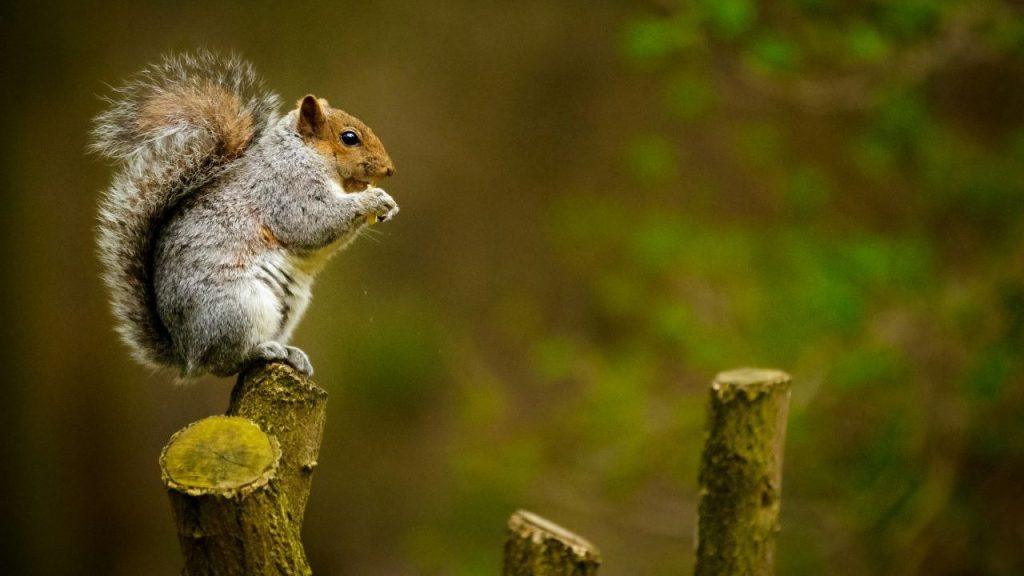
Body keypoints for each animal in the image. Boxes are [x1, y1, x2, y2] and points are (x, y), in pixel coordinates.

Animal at [91, 51, 398, 378]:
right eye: (349, 138)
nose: (389, 169)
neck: (303, 152)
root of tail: (186, 353)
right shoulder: (287, 190)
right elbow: (315, 222)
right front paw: (374, 199)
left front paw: (387, 206)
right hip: (239, 306)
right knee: (224, 362)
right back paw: (263, 350)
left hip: (288, 308)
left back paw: (291, 354)